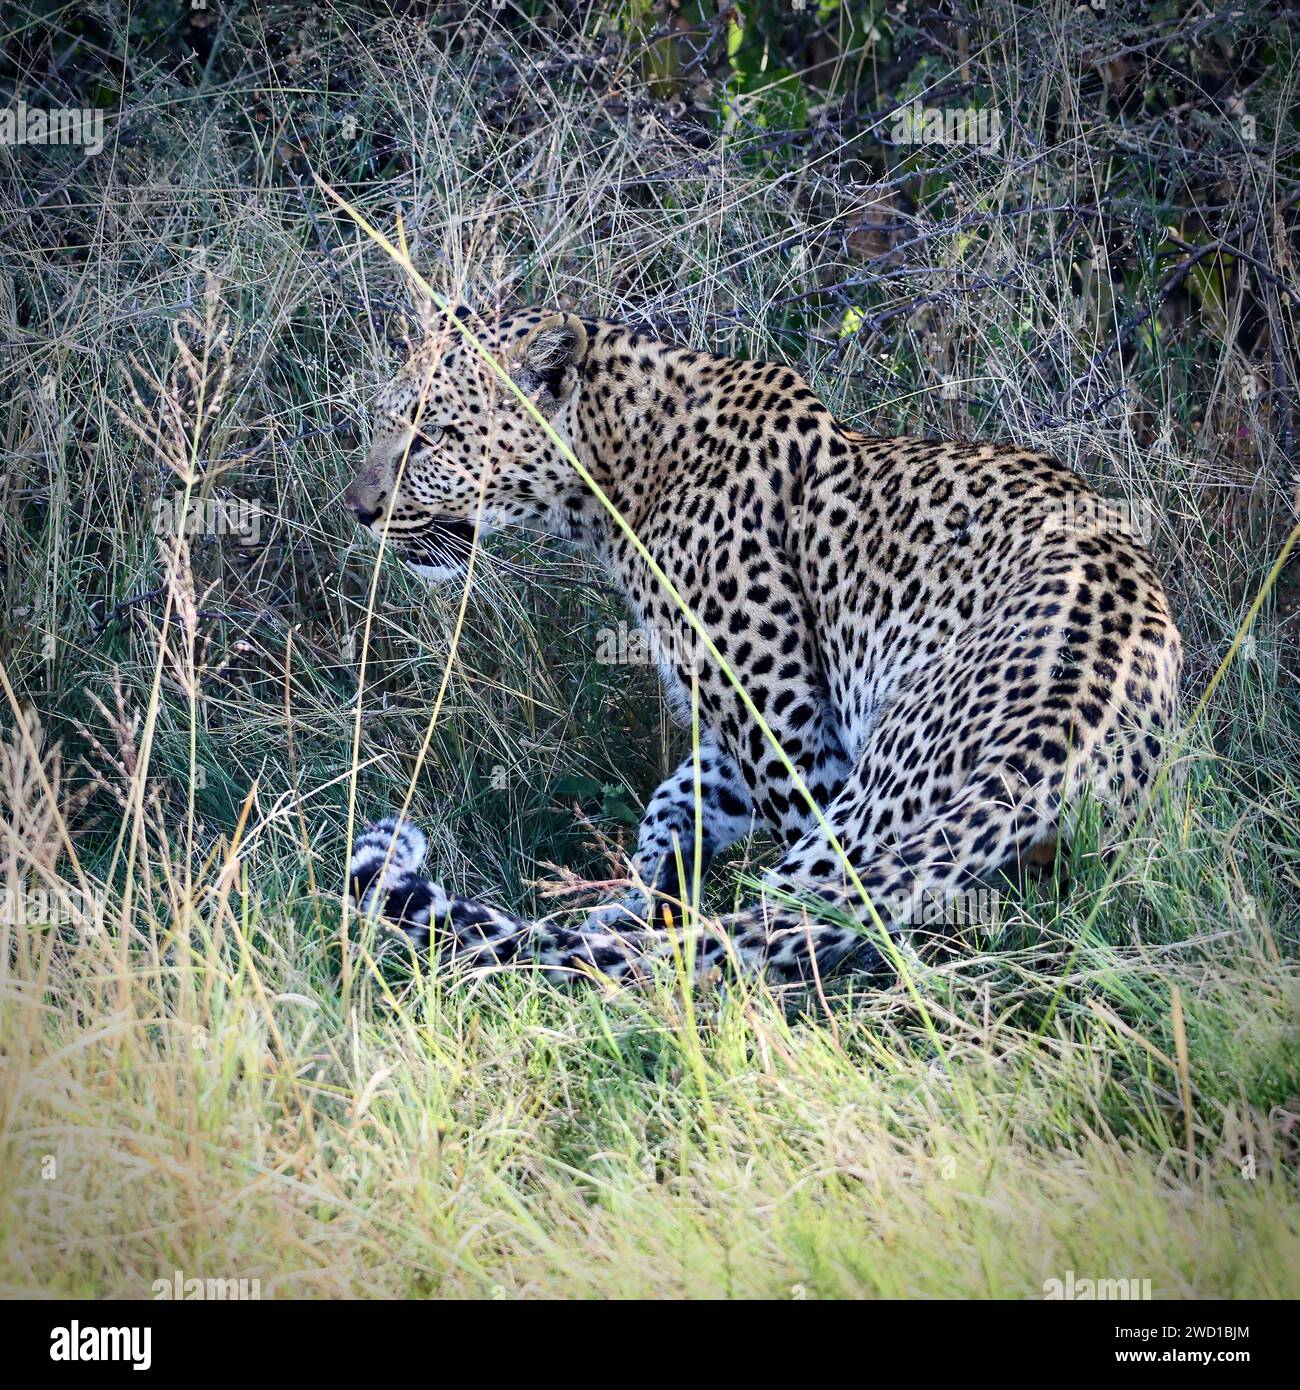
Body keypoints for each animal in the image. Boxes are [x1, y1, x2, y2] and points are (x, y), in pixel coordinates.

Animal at [342, 303, 1181, 987]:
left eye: (430, 437)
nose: (357, 509)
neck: (620, 470)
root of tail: (1065, 720)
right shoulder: (740, 725)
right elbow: (674, 798)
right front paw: (641, 892)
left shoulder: (785, 729)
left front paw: (628, 914)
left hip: (871, 811)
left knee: (785, 929)